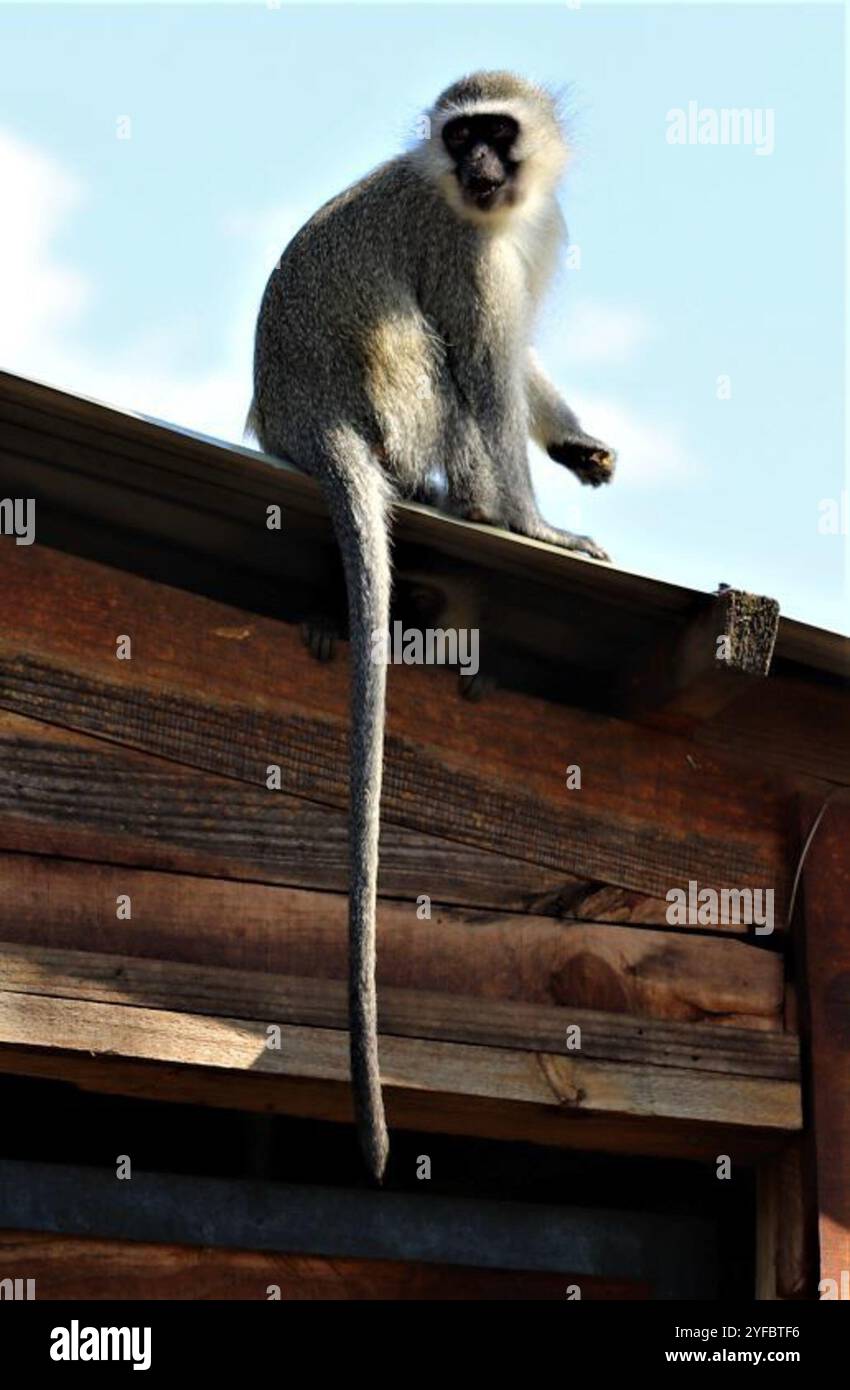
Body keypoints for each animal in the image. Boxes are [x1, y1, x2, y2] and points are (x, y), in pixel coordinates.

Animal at [248, 71, 616, 1183]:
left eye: (495, 131)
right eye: (460, 139)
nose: (482, 165)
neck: (489, 212)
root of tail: (301, 421)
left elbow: (518, 364)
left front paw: (577, 443)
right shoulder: (464, 257)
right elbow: (486, 374)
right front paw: (530, 521)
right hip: (385, 403)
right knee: (436, 361)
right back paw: (466, 501)